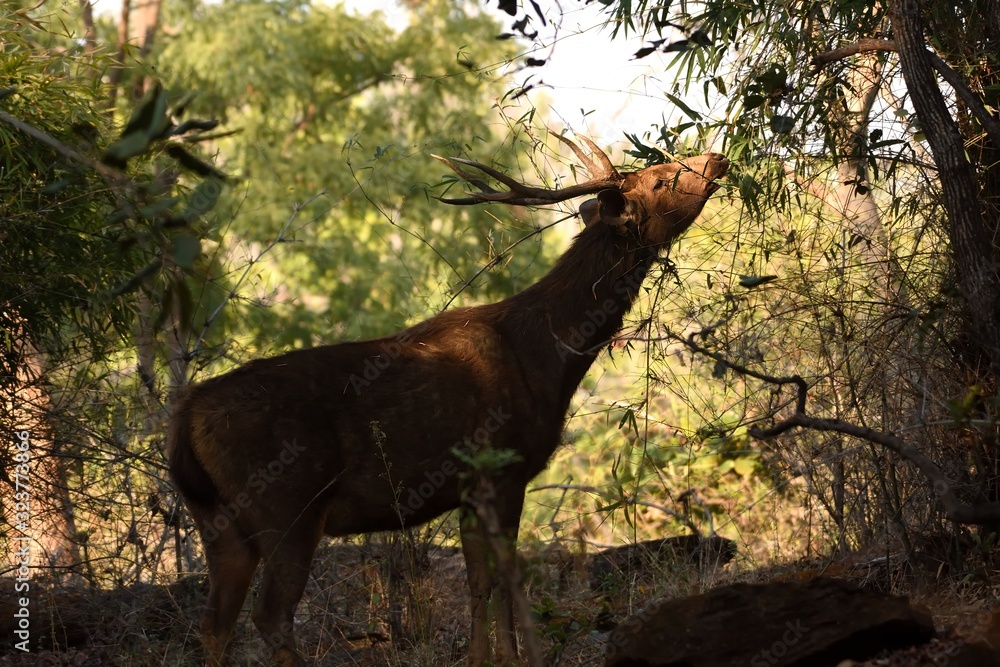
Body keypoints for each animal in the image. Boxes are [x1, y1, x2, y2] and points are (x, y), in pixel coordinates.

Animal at [167, 133, 729, 667]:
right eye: (660, 180)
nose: (717, 159)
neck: (551, 356)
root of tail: (187, 417)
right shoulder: (503, 468)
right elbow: (505, 576)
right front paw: (513, 658)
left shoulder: (469, 489)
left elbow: (477, 580)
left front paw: (481, 659)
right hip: (288, 504)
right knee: (269, 615)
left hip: (218, 520)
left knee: (213, 623)